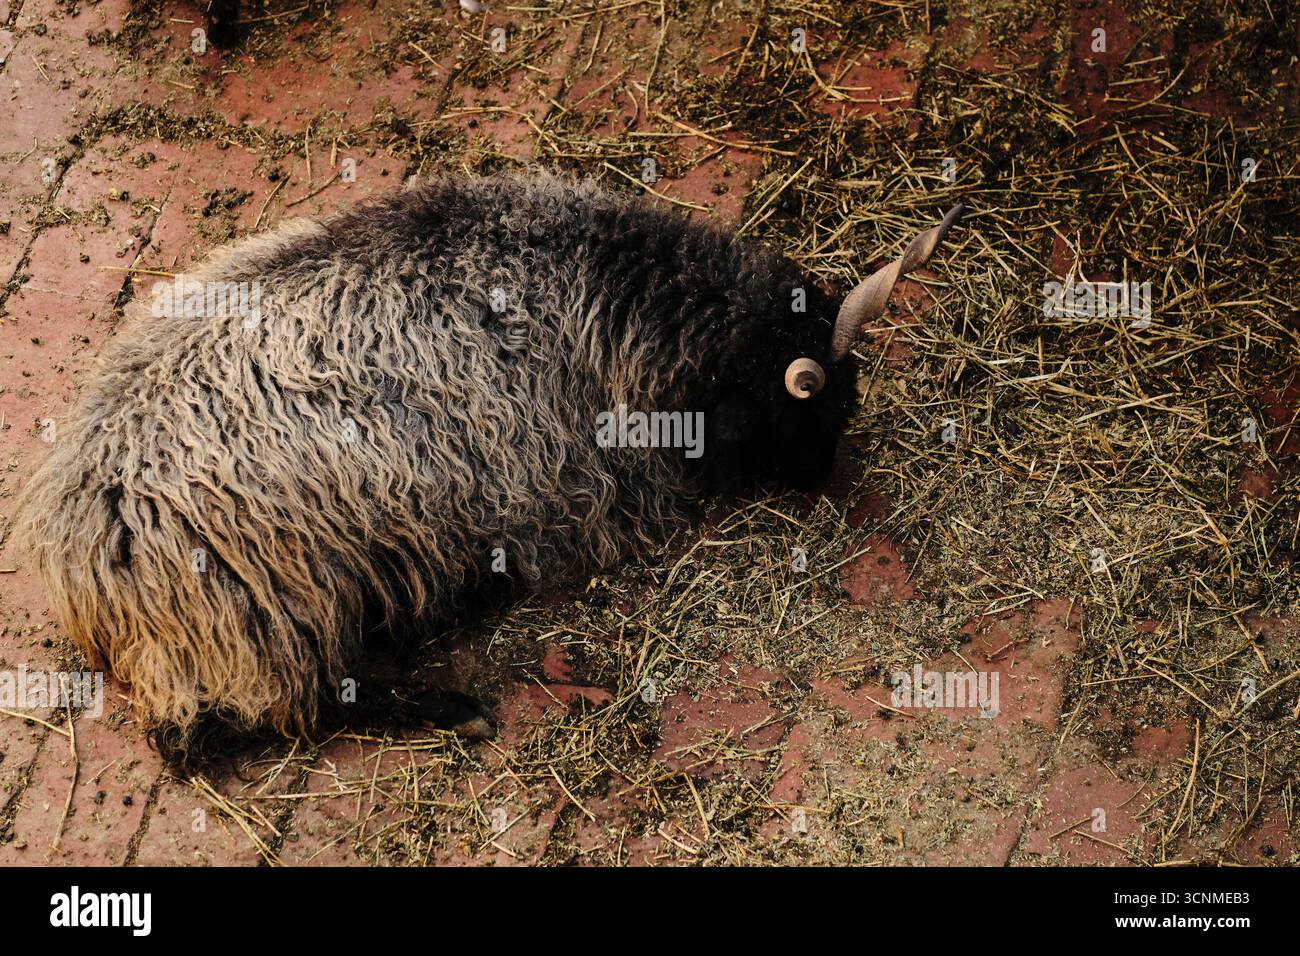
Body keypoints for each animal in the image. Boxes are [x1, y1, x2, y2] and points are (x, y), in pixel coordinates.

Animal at [14, 171, 961, 757]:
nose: (820, 475)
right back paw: (453, 700)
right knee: (254, 719)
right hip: (270, 609)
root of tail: (79, 556)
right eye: (802, 412)